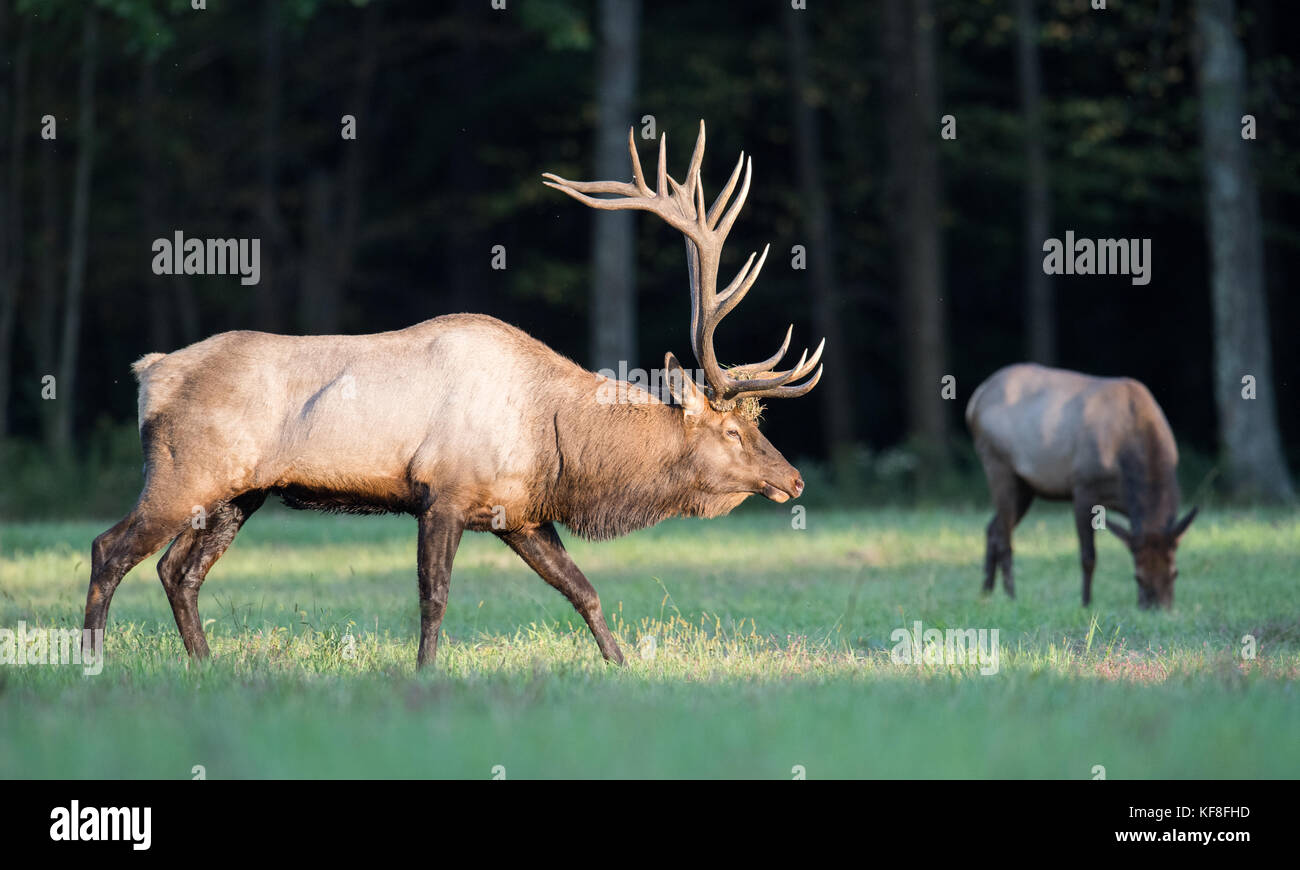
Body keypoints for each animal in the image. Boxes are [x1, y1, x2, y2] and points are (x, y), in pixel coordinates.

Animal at [82, 121, 823, 669]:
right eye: (733, 431)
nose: (793, 479)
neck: (559, 441)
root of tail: (149, 371)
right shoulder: (443, 493)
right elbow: (434, 598)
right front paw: (425, 672)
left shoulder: (521, 513)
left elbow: (583, 591)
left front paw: (621, 666)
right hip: (183, 472)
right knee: (109, 549)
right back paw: (92, 663)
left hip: (239, 492)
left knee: (178, 570)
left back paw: (206, 665)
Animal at [966, 363, 1198, 609]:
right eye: (1138, 576)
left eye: (1175, 573)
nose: (1156, 608)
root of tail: (975, 402)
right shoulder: (1083, 488)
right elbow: (1088, 556)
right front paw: (1086, 603)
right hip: (997, 461)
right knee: (1004, 537)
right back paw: (1011, 596)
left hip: (1025, 487)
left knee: (993, 528)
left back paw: (986, 592)